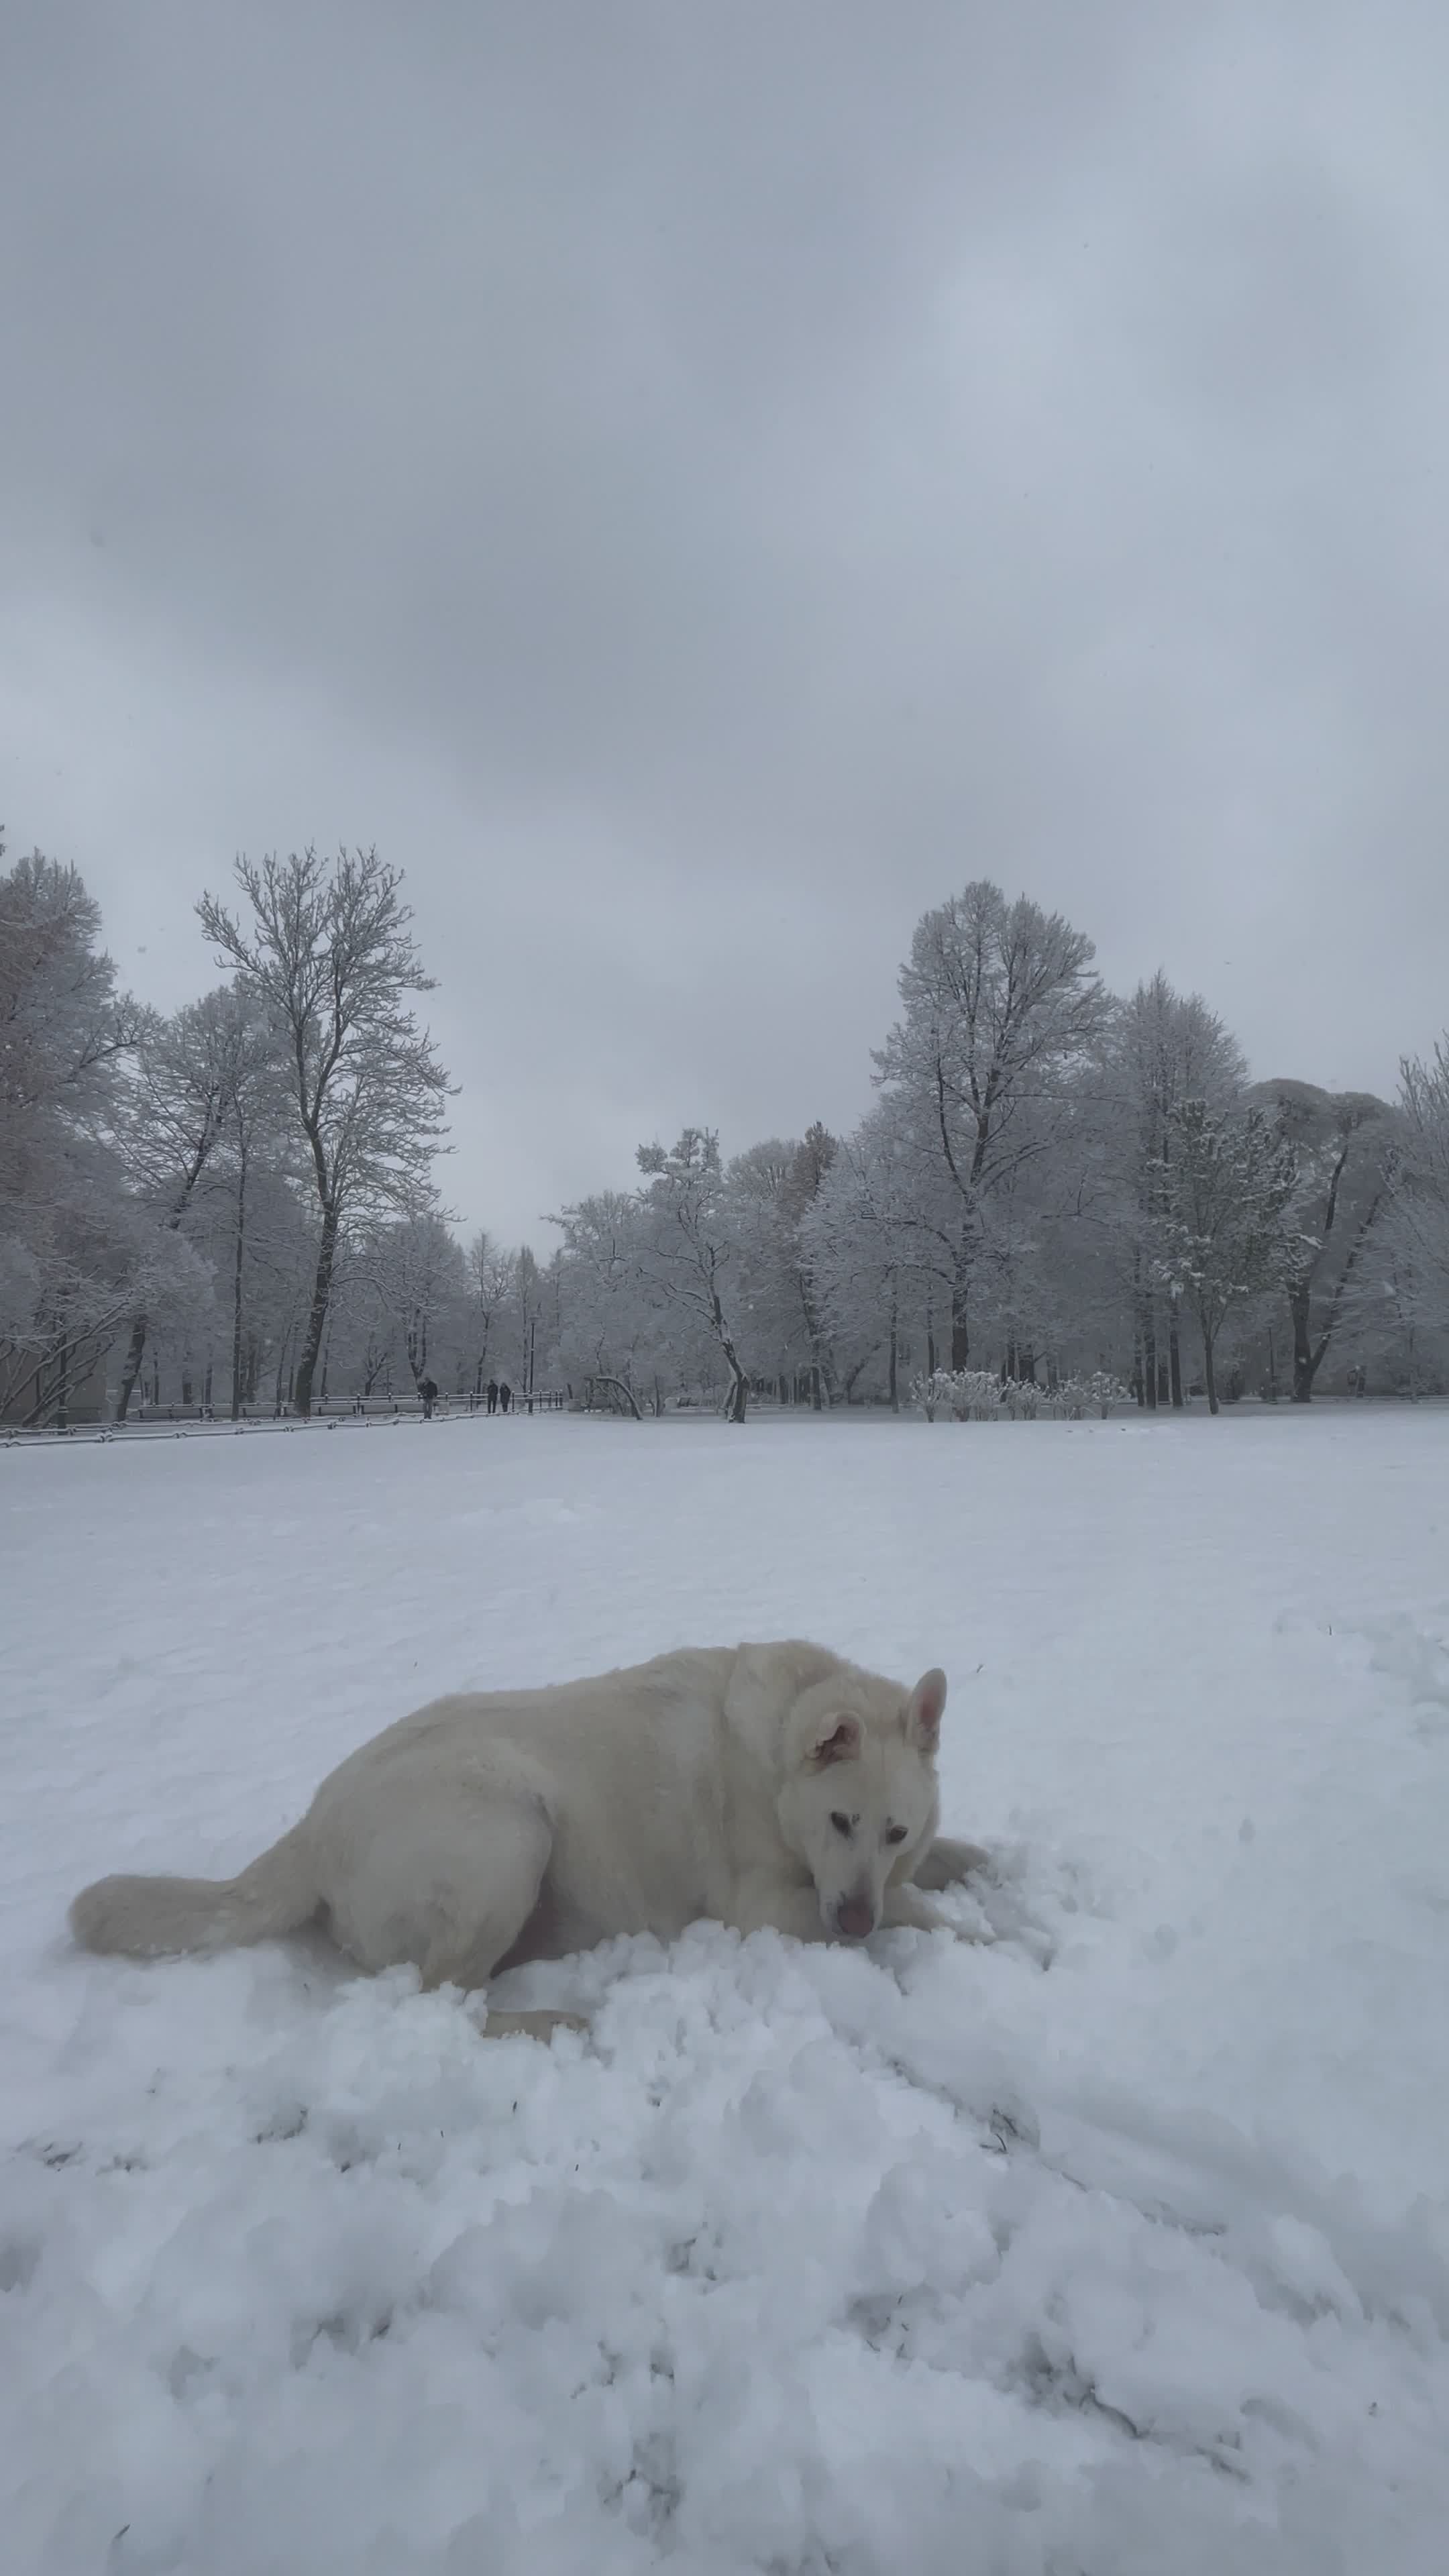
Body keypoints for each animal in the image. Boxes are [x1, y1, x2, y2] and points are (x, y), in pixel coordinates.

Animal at [69, 1641, 989, 2039]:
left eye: (894, 1829)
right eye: (840, 1824)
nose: (854, 1924)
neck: (778, 1751)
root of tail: (312, 1827)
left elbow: (945, 1863)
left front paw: (984, 1873)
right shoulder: (762, 1905)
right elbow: (917, 1907)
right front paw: (980, 1934)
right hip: (513, 1831)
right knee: (444, 1998)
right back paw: (555, 2019)